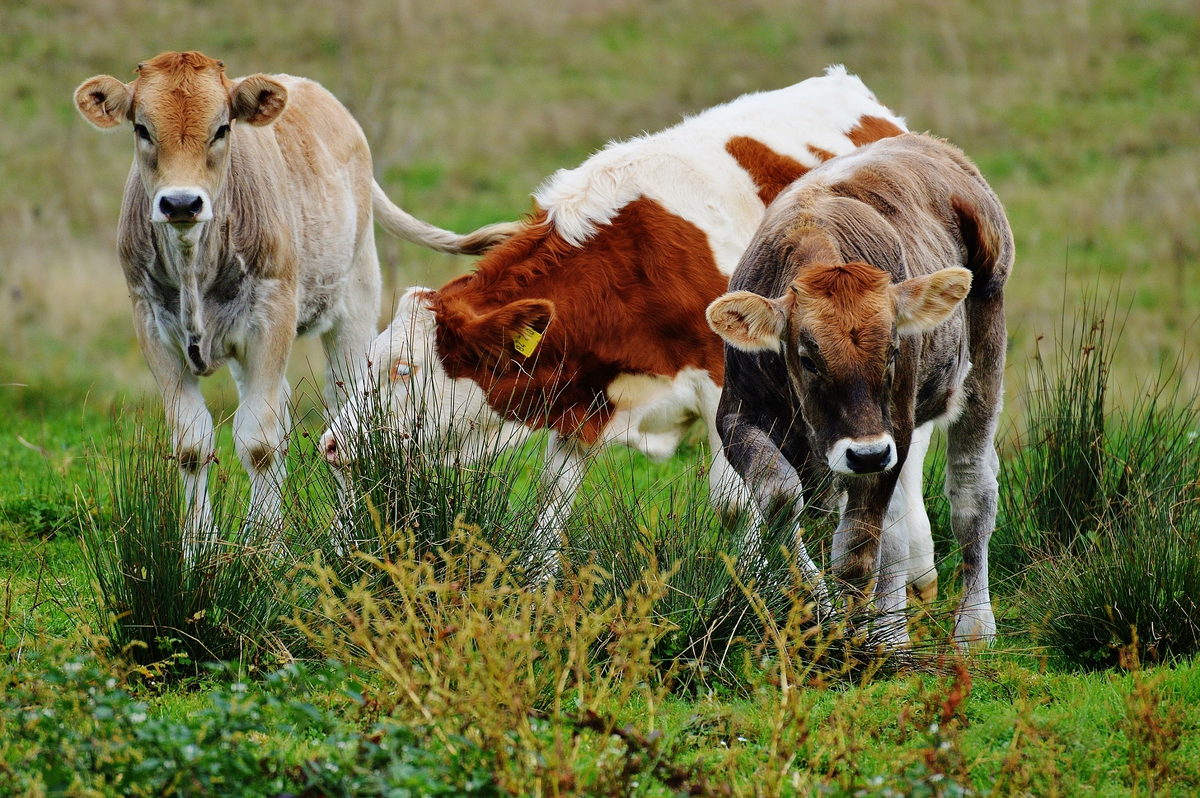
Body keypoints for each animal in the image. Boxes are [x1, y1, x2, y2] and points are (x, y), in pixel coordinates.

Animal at [75, 51, 516, 554]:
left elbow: (259, 443)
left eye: (222, 128)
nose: (182, 203)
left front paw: (264, 548)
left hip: (356, 308)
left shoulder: (272, 319)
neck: (193, 266)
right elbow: (191, 445)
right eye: (142, 129)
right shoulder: (152, 326)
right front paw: (198, 550)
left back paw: (348, 537)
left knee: (346, 423)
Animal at [324, 65, 902, 568]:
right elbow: (549, 506)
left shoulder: (724, 386)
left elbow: (740, 503)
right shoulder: (582, 400)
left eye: (404, 370)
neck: (633, 270)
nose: (331, 444)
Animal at [705, 133, 1017, 643]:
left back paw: (970, 627)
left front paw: (856, 645)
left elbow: (856, 551)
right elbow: (780, 499)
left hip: (983, 358)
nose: (866, 454)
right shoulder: (738, 417)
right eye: (808, 358)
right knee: (899, 529)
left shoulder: (893, 434)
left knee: (972, 492)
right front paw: (824, 612)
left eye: (892, 351)